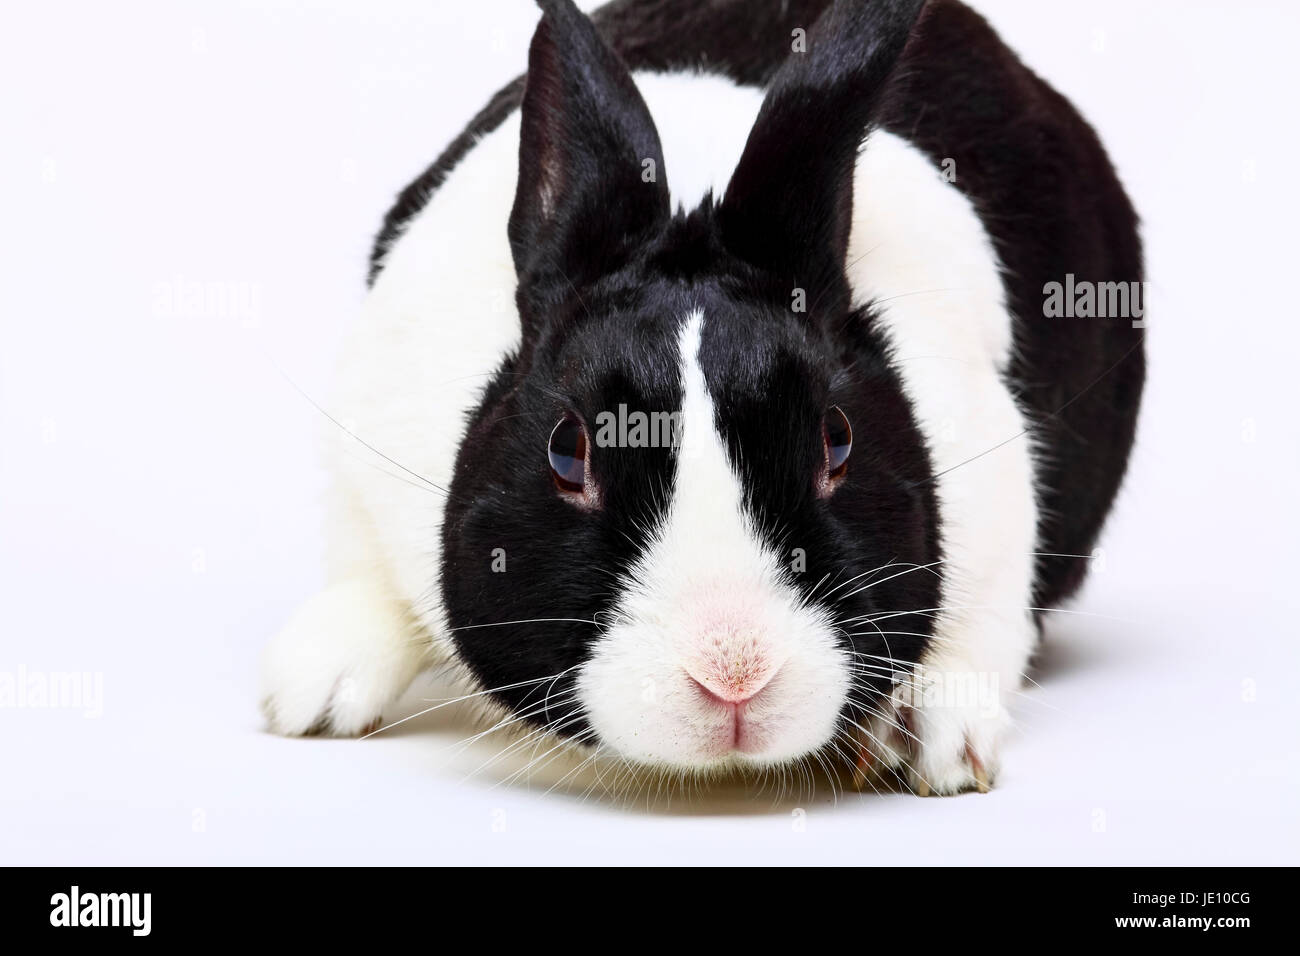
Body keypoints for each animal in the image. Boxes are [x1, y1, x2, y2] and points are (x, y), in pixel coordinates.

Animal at [261, 0, 1144, 796]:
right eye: (566, 451)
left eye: (838, 440)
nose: (734, 674)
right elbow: (366, 578)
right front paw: (307, 698)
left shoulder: (998, 489)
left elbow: (980, 626)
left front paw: (926, 742)